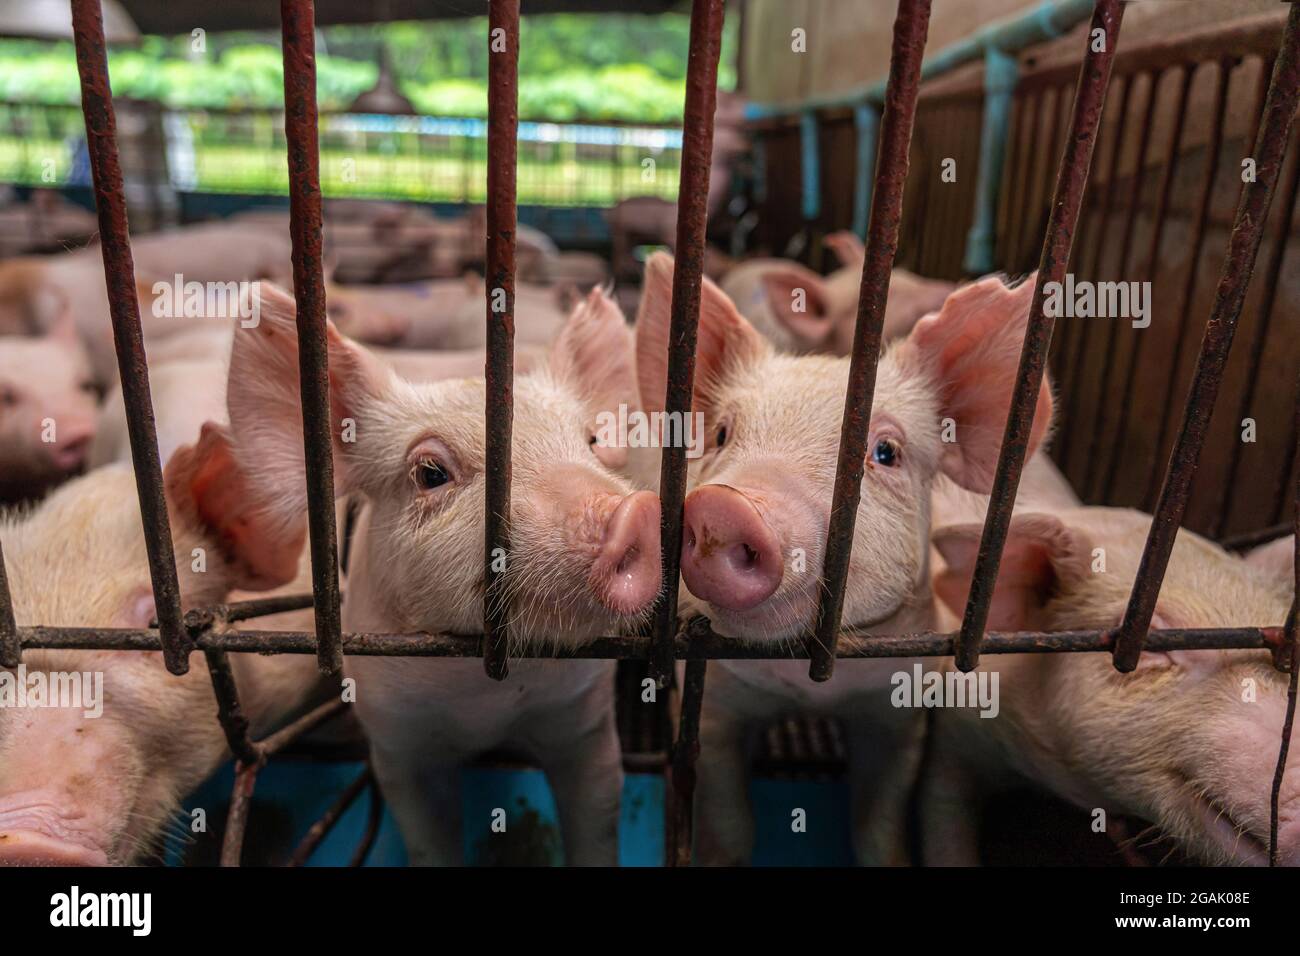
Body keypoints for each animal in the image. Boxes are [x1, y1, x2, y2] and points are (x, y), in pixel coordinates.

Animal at [220, 282, 662, 865]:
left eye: (590, 442)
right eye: (430, 473)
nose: (634, 512)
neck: (486, 699)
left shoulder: (585, 720)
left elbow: (597, 818)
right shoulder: (395, 743)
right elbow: (429, 837)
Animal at [635, 253, 1053, 864]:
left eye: (885, 452)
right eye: (722, 434)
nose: (724, 507)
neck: (809, 689)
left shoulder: (900, 711)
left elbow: (878, 826)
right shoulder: (711, 703)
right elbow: (730, 822)